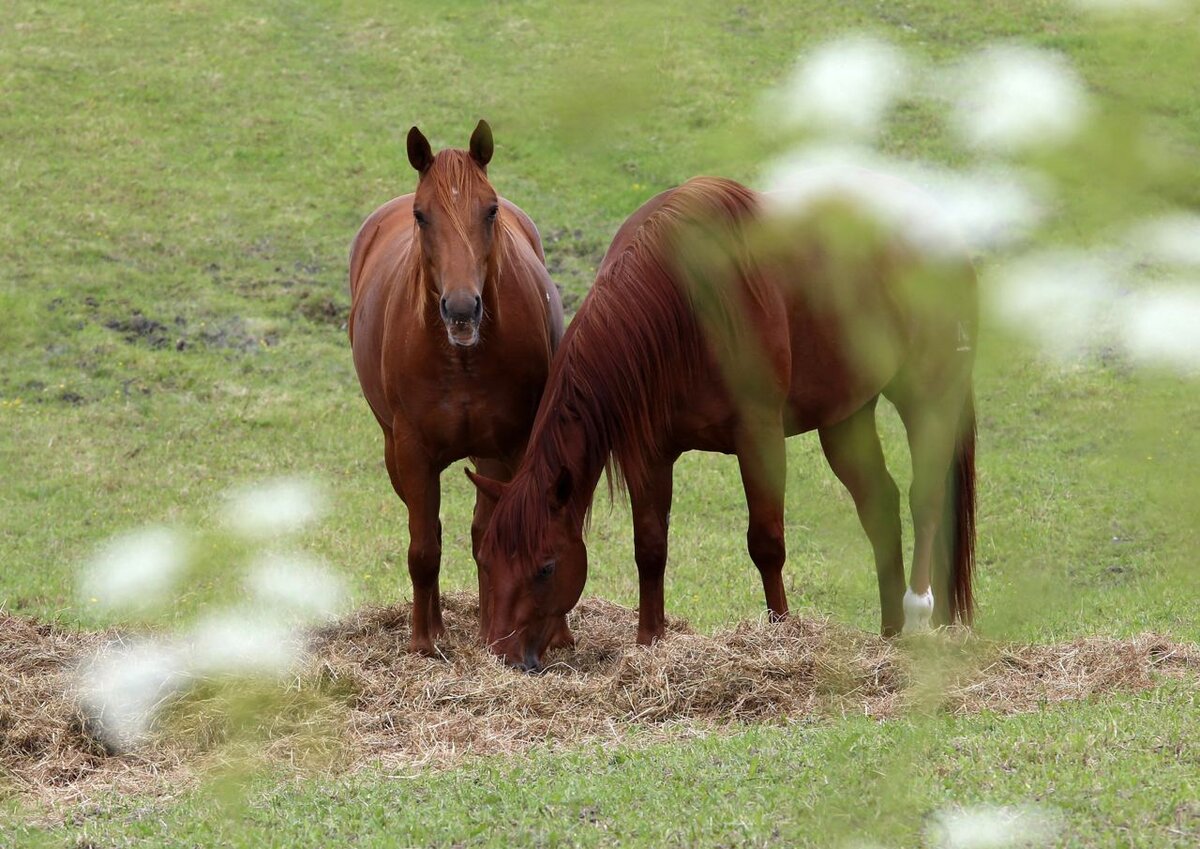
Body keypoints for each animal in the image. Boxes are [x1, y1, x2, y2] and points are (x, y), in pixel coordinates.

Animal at [348, 119, 571, 652]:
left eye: (490, 210)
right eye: (421, 215)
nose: (462, 308)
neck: (462, 360)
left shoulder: (508, 447)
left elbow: (495, 534)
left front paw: (498, 633)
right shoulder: (412, 451)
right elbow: (424, 547)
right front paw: (424, 642)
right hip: (395, 452)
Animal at [463, 177, 979, 671]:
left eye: (546, 568)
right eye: (485, 561)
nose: (502, 656)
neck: (681, 307)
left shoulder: (760, 438)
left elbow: (766, 542)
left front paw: (780, 634)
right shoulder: (651, 454)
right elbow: (650, 547)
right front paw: (649, 642)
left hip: (927, 397)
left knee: (924, 499)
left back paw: (917, 613)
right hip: (846, 418)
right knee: (880, 506)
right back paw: (889, 634)